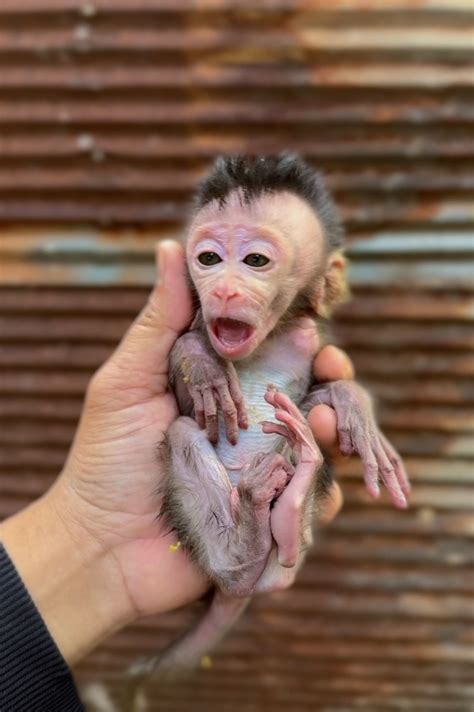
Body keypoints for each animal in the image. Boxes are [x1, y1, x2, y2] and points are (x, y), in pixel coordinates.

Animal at [120, 154, 410, 705]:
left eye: (255, 260)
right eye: (209, 258)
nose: (224, 288)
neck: (270, 337)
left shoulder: (313, 337)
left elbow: (323, 390)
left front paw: (355, 409)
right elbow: (188, 389)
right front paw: (201, 363)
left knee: (303, 432)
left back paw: (295, 494)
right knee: (184, 435)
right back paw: (243, 546)